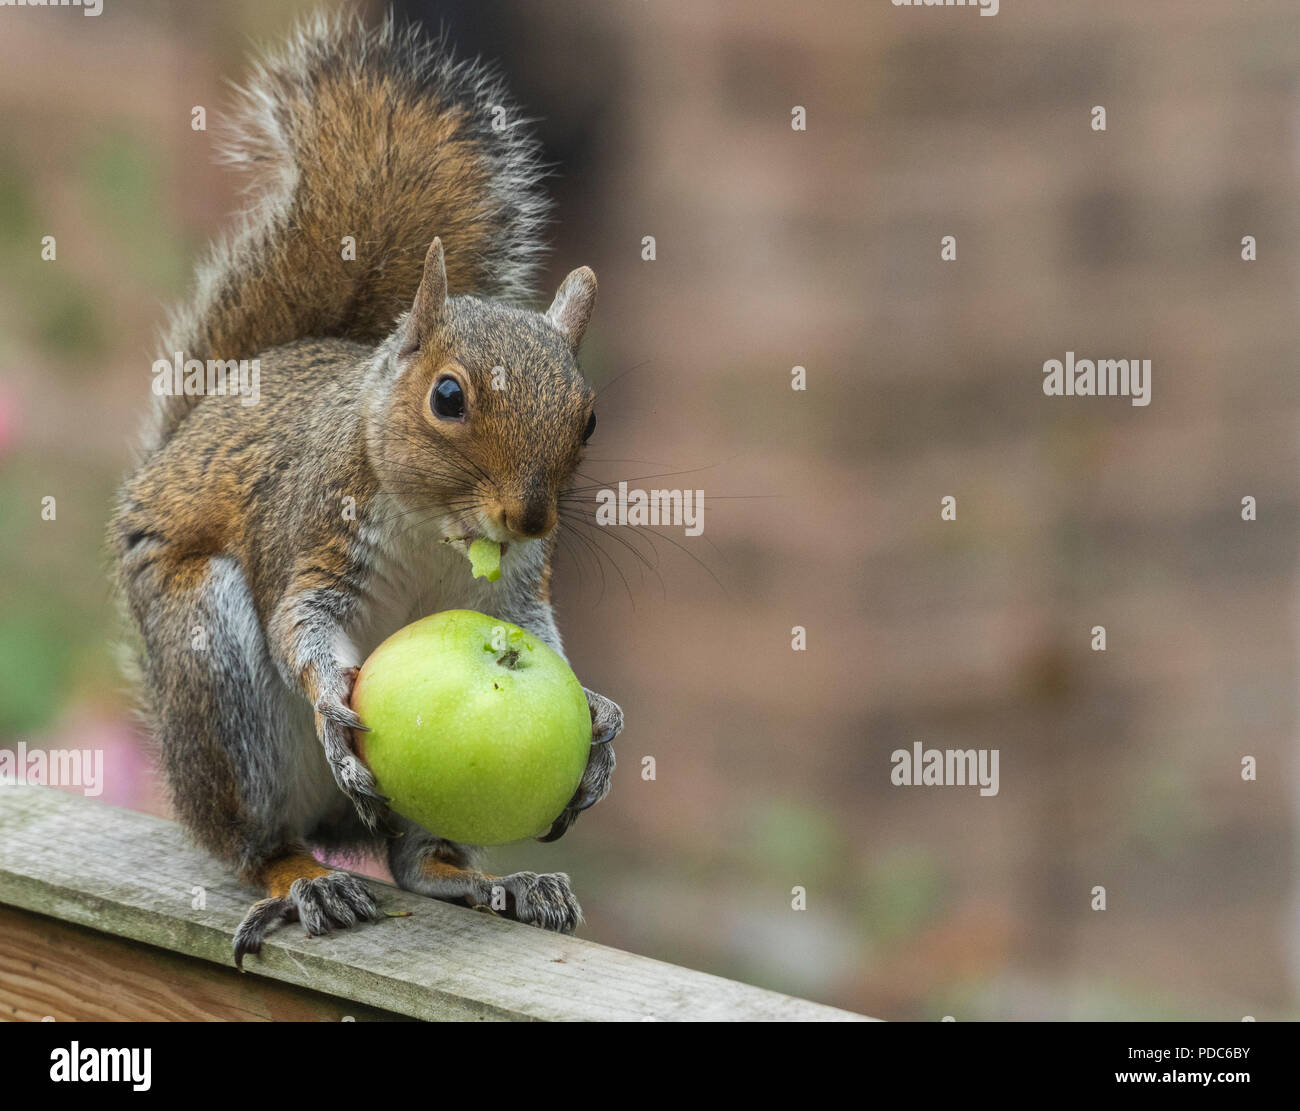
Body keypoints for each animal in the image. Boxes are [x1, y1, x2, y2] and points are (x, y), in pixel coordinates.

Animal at [109, 12, 623, 967]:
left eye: (591, 418)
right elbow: (299, 624)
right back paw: (304, 879)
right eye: (448, 397)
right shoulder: (313, 531)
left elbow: (543, 641)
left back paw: (495, 881)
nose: (528, 515)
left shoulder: (515, 595)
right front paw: (332, 706)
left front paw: (603, 723)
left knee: (417, 860)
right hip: (209, 665)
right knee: (251, 838)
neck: (437, 529)